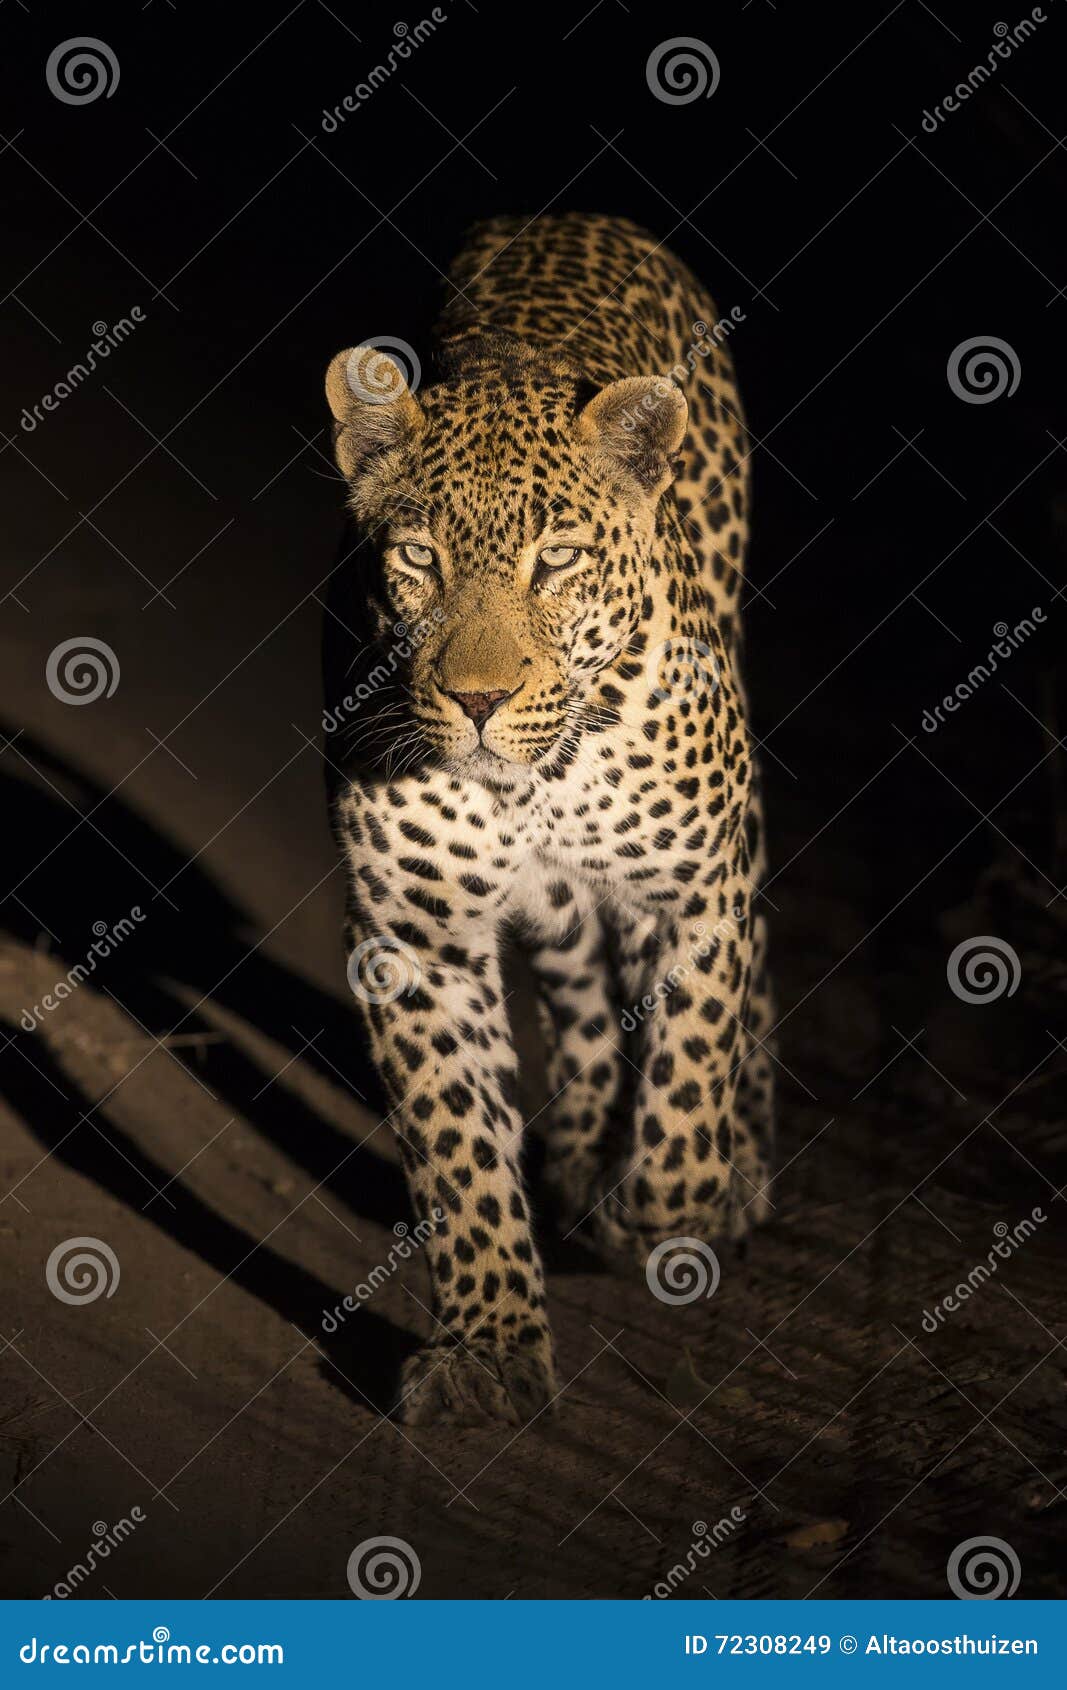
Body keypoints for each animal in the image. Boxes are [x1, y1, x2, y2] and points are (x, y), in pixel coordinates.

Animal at [322, 212, 775, 1427]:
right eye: (417, 558)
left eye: (556, 559)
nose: (476, 700)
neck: (537, 784)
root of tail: (574, 217)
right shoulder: (413, 941)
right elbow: (458, 1149)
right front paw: (485, 1345)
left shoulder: (699, 891)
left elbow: (689, 1083)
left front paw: (662, 1205)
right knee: (576, 991)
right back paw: (575, 1146)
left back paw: (731, 1164)